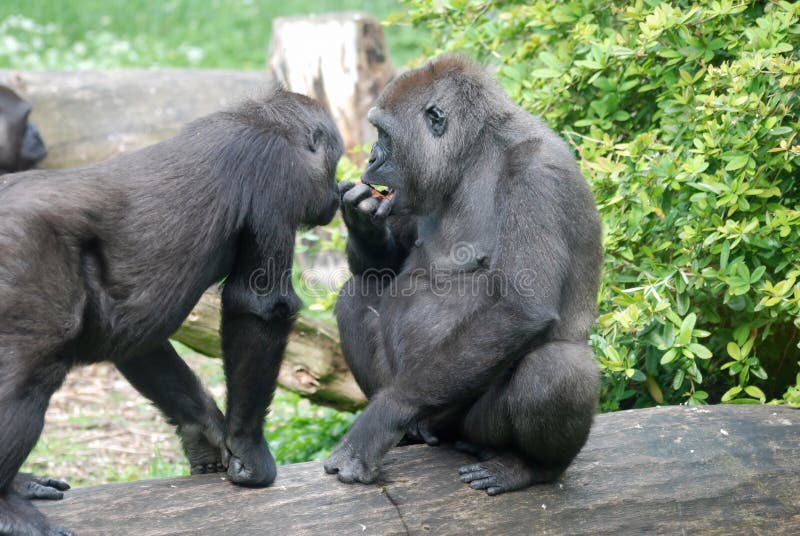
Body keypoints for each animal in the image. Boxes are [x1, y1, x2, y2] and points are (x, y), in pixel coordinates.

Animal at [0, 88, 343, 535]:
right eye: (333, 165)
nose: (339, 192)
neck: (260, 124)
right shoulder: (278, 177)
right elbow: (258, 308)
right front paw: (248, 449)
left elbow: (133, 338)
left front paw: (206, 434)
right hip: (25, 249)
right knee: (28, 379)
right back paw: (7, 507)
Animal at [325, 55, 602, 496]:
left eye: (384, 133)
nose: (369, 158)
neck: (474, 153)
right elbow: (381, 269)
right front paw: (362, 219)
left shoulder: (537, 174)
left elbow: (520, 308)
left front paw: (379, 421)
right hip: (431, 419)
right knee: (358, 292)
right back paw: (413, 435)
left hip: (468, 423)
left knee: (558, 367)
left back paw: (529, 466)